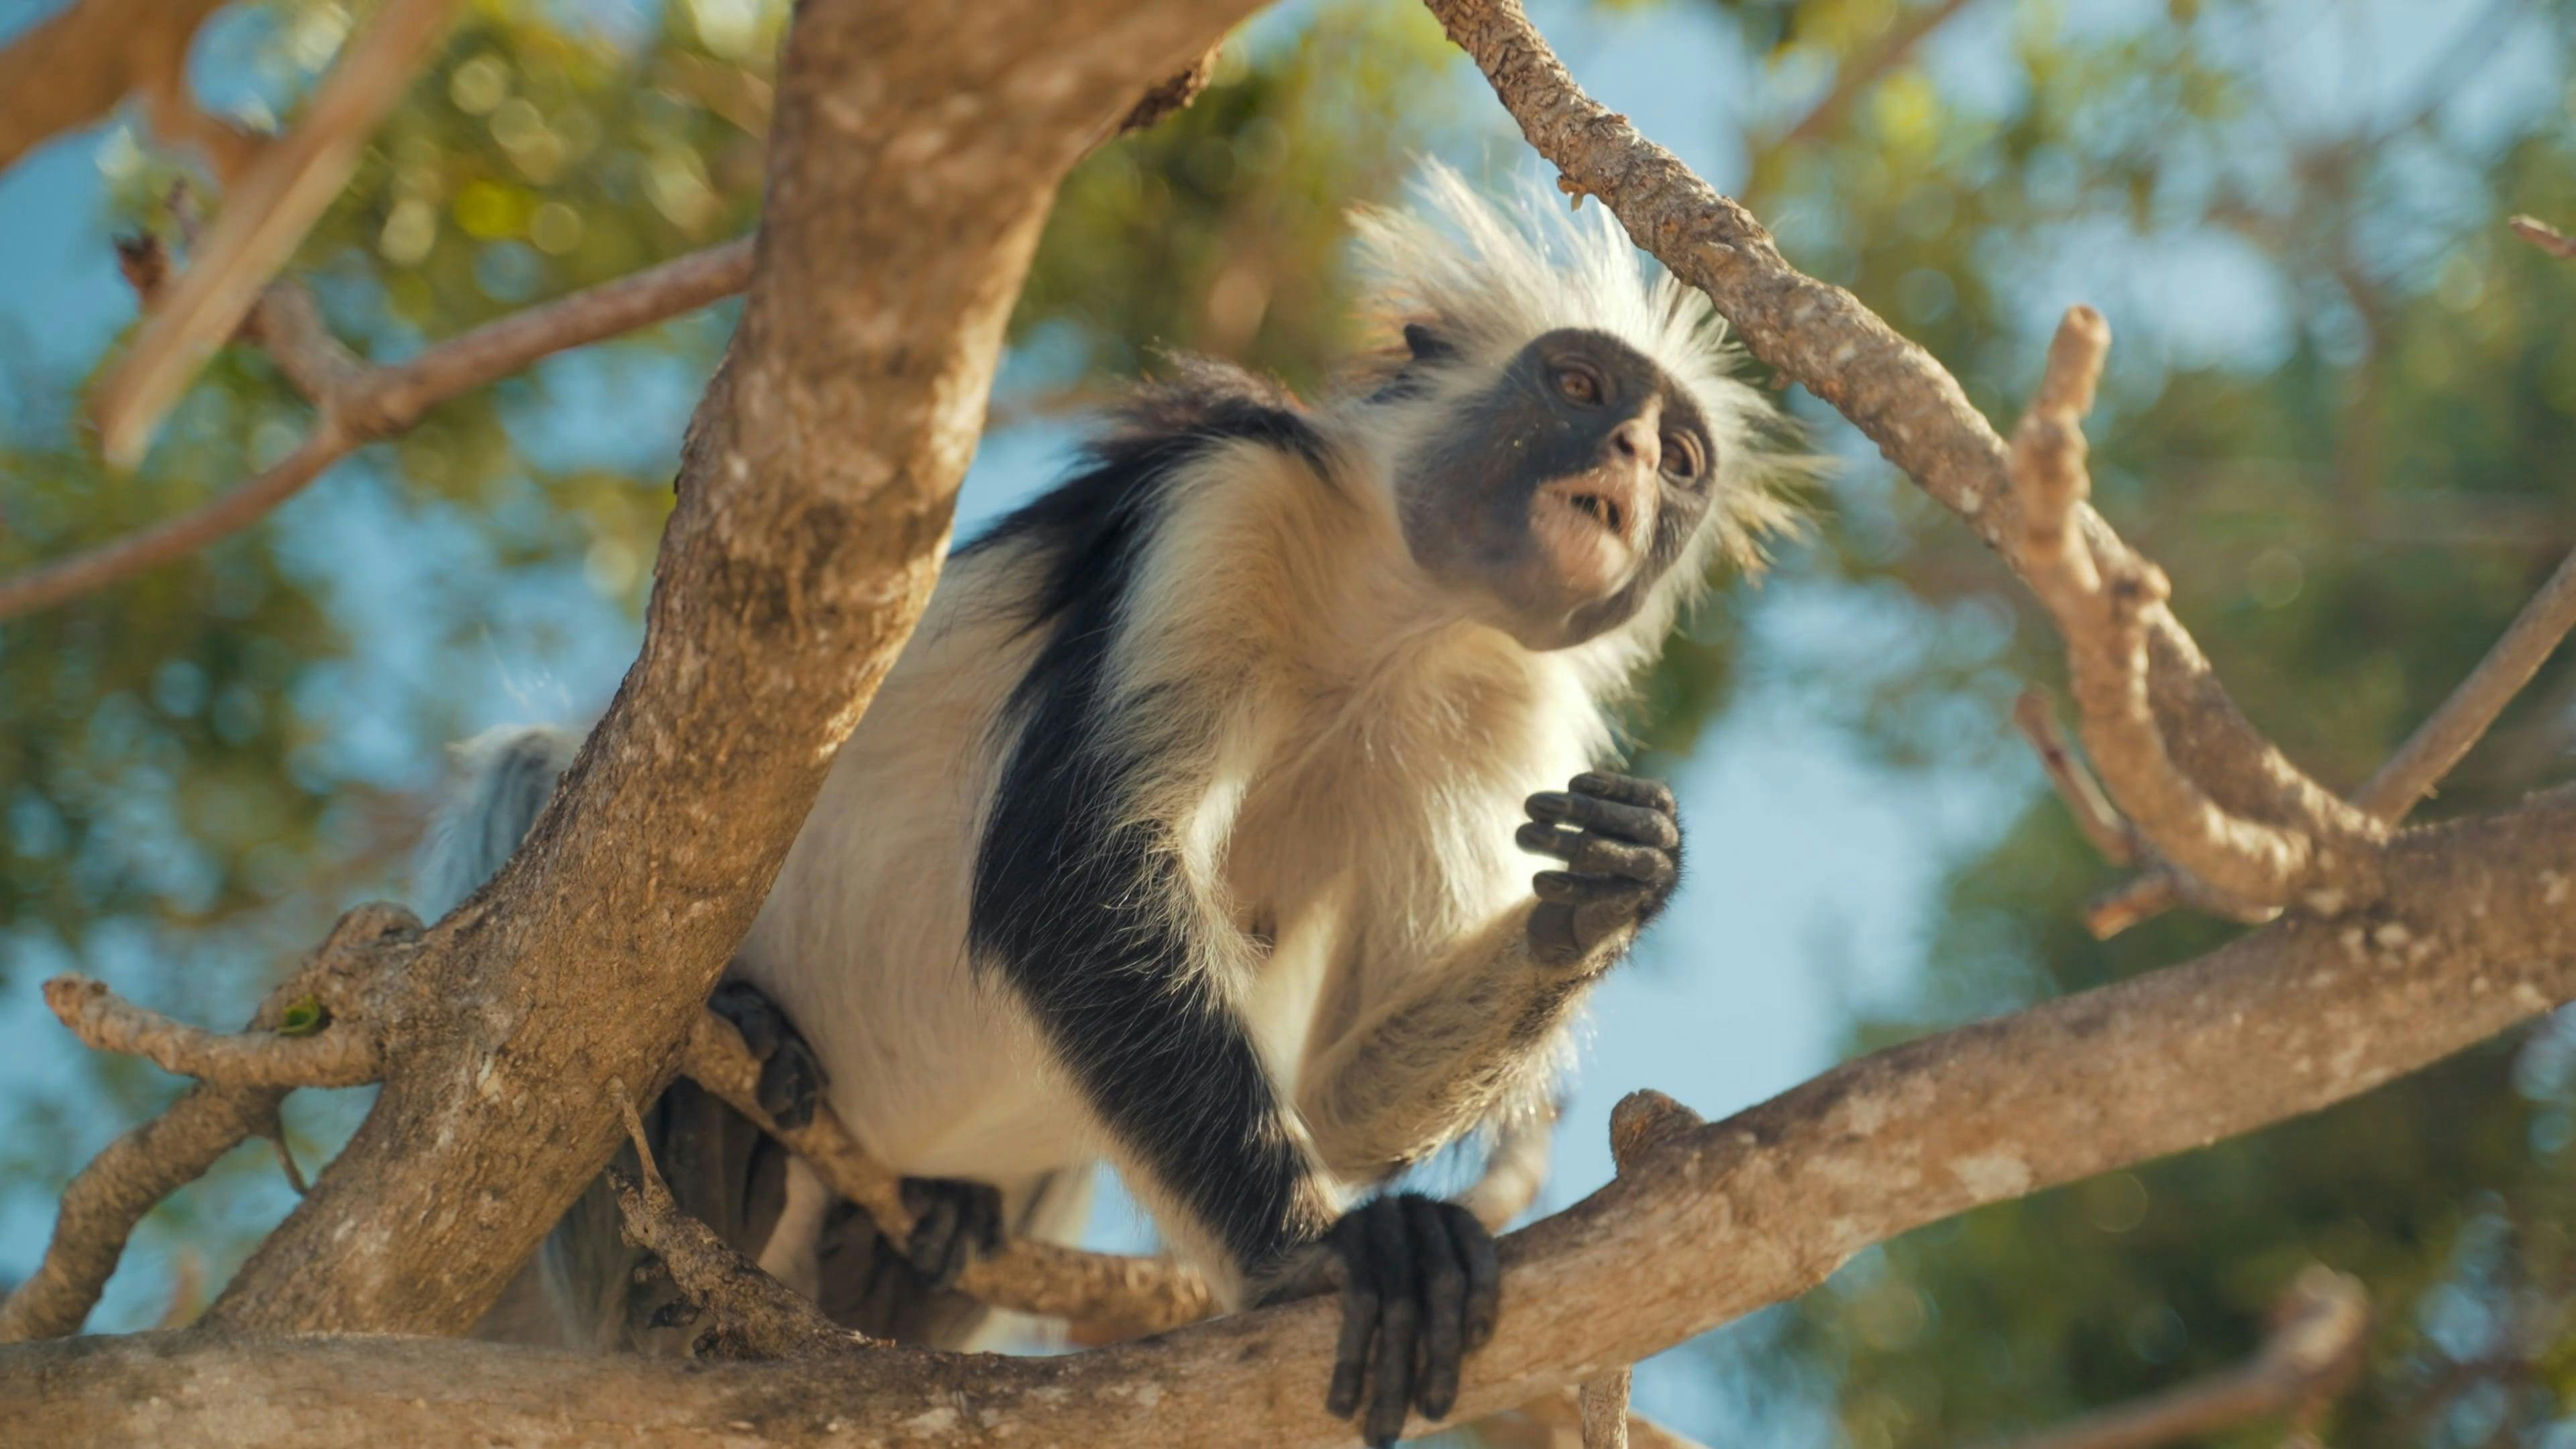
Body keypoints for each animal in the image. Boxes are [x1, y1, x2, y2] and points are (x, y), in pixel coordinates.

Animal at [426, 163, 1794, 1444]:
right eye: (1579, 387)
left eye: (1681, 458)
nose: (1632, 459)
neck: (1394, 629)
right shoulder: (1227, 502)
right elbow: (1070, 876)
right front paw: (1323, 1255)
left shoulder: (1508, 707)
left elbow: (1333, 1101)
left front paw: (1616, 885)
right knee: (533, 783)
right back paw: (699, 1160)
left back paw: (896, 1252)